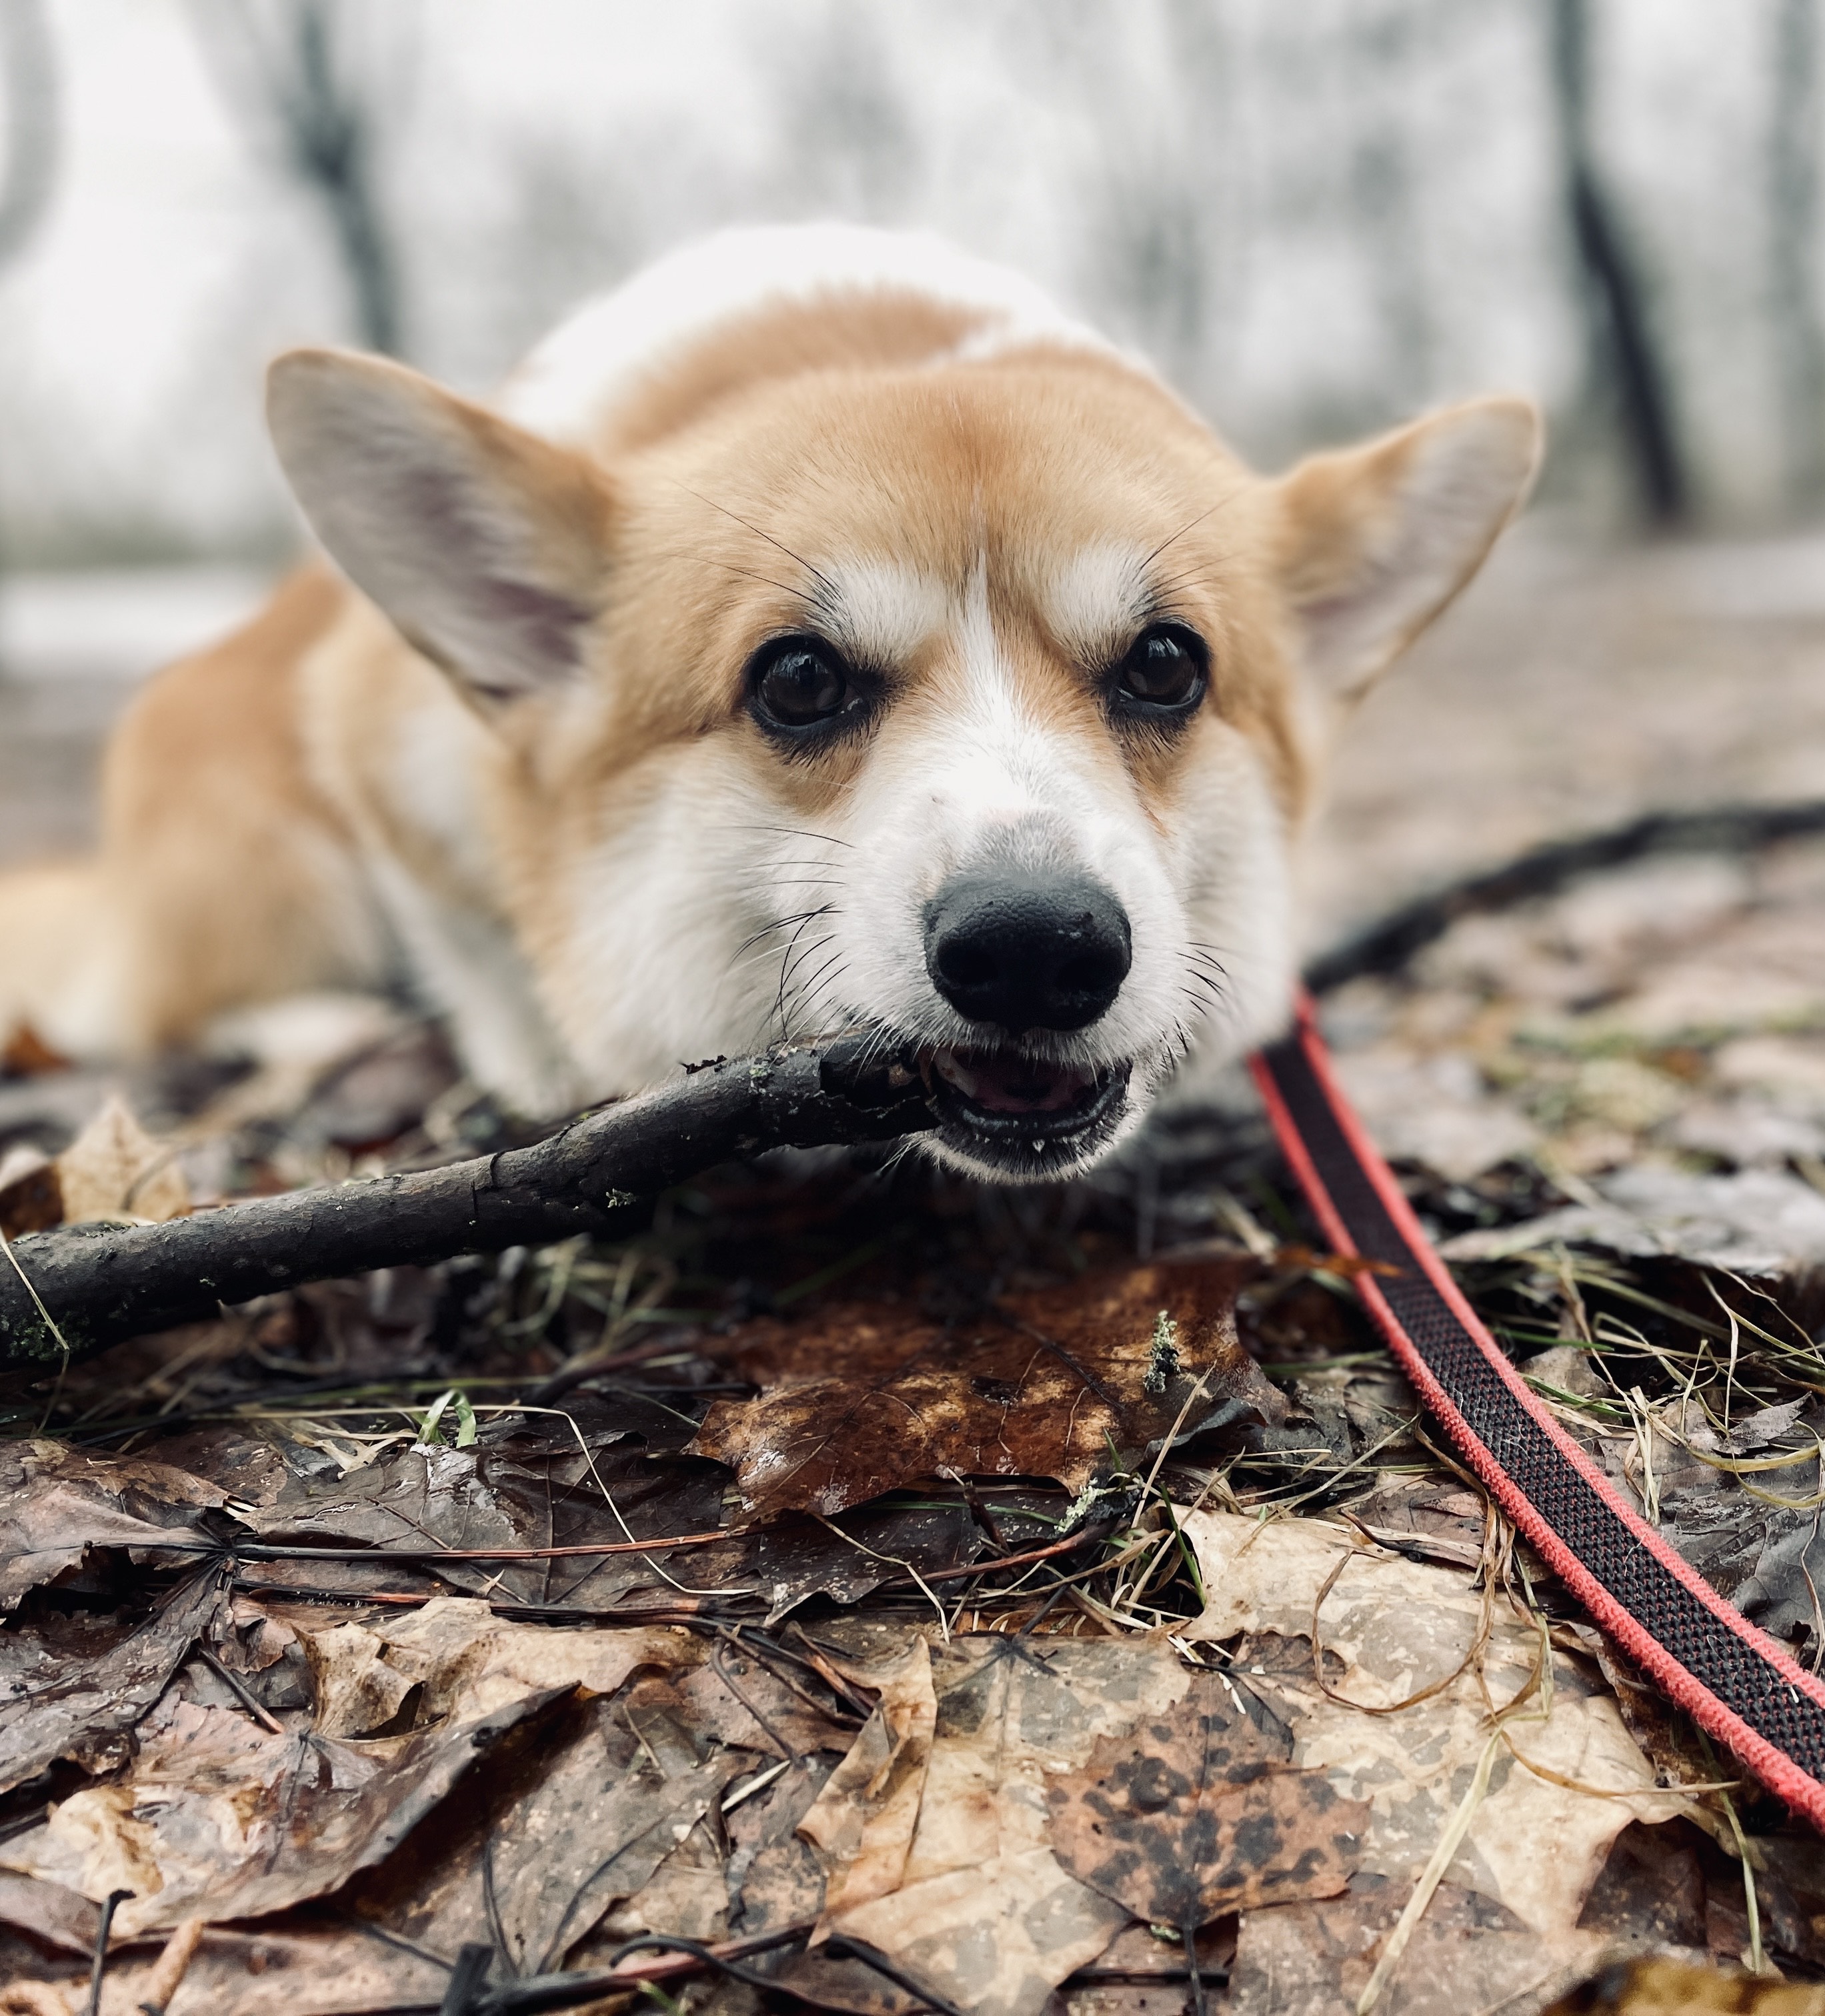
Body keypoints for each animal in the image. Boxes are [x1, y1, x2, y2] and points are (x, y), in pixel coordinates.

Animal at [0, 229, 1540, 1177]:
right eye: (796, 680)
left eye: (1166, 664)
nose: (1035, 950)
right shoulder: (386, 755)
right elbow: (497, 961)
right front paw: (544, 1063)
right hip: (273, 874)